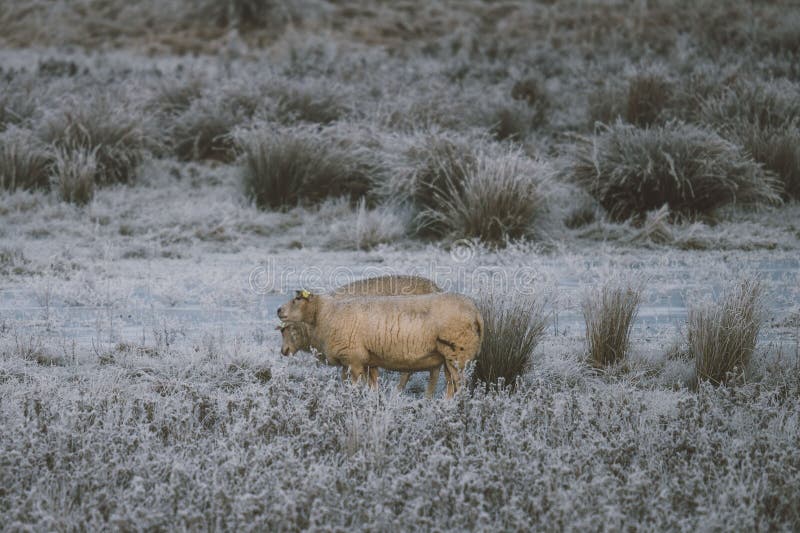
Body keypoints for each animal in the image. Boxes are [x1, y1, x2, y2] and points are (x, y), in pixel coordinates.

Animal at [277, 291, 483, 398]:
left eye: (297, 299)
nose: (278, 309)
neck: (324, 314)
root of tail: (475, 311)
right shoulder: (368, 361)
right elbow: (372, 386)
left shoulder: (353, 359)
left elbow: (353, 387)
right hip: (449, 358)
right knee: (450, 385)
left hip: (458, 354)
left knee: (460, 386)